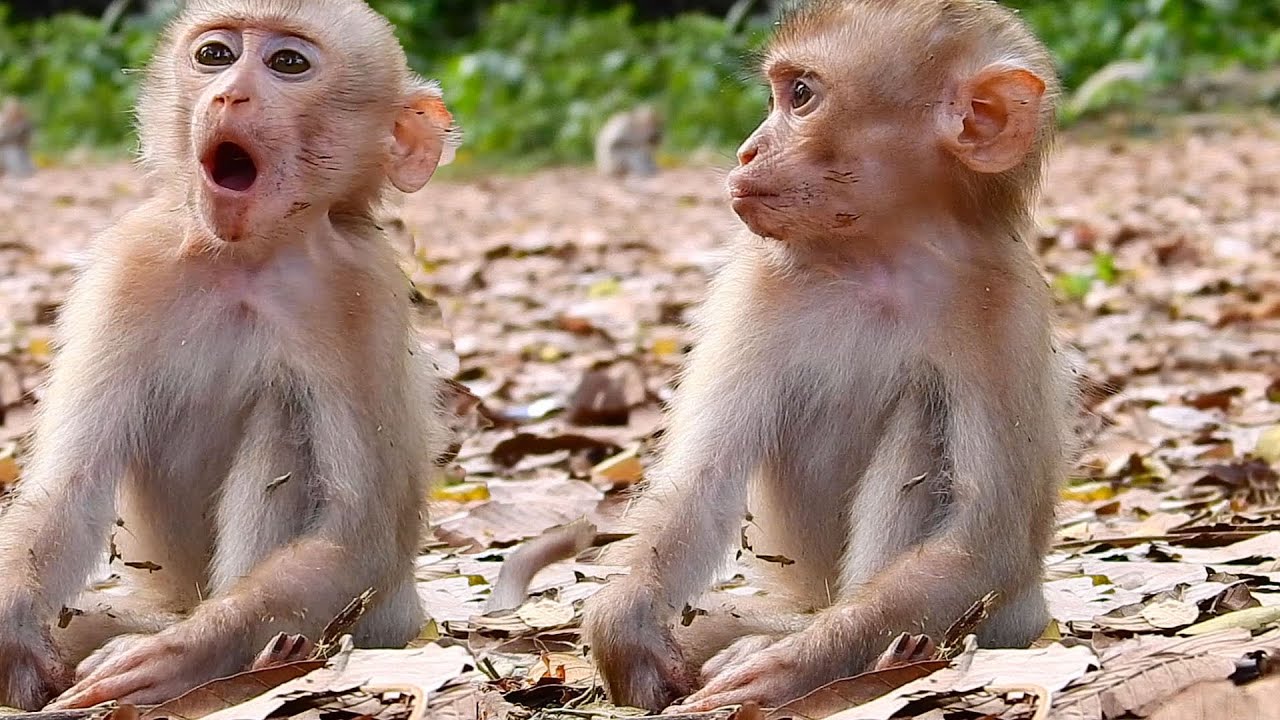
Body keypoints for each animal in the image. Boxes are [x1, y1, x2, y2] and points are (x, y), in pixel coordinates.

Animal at [0, 0, 459, 710]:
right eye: (214, 55)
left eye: (288, 63)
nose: (228, 93)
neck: (248, 259)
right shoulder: (130, 263)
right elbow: (66, 490)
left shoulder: (363, 298)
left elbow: (356, 535)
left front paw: (178, 658)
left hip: (383, 618)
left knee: (286, 416)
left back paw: (273, 655)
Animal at [580, 0, 1075, 712]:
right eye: (778, 93)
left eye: (802, 96)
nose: (748, 149)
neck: (881, 258)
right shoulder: (755, 282)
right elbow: (699, 484)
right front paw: (626, 631)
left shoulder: (1007, 312)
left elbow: (985, 543)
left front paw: (791, 668)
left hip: (1013, 618)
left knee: (924, 416)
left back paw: (880, 654)